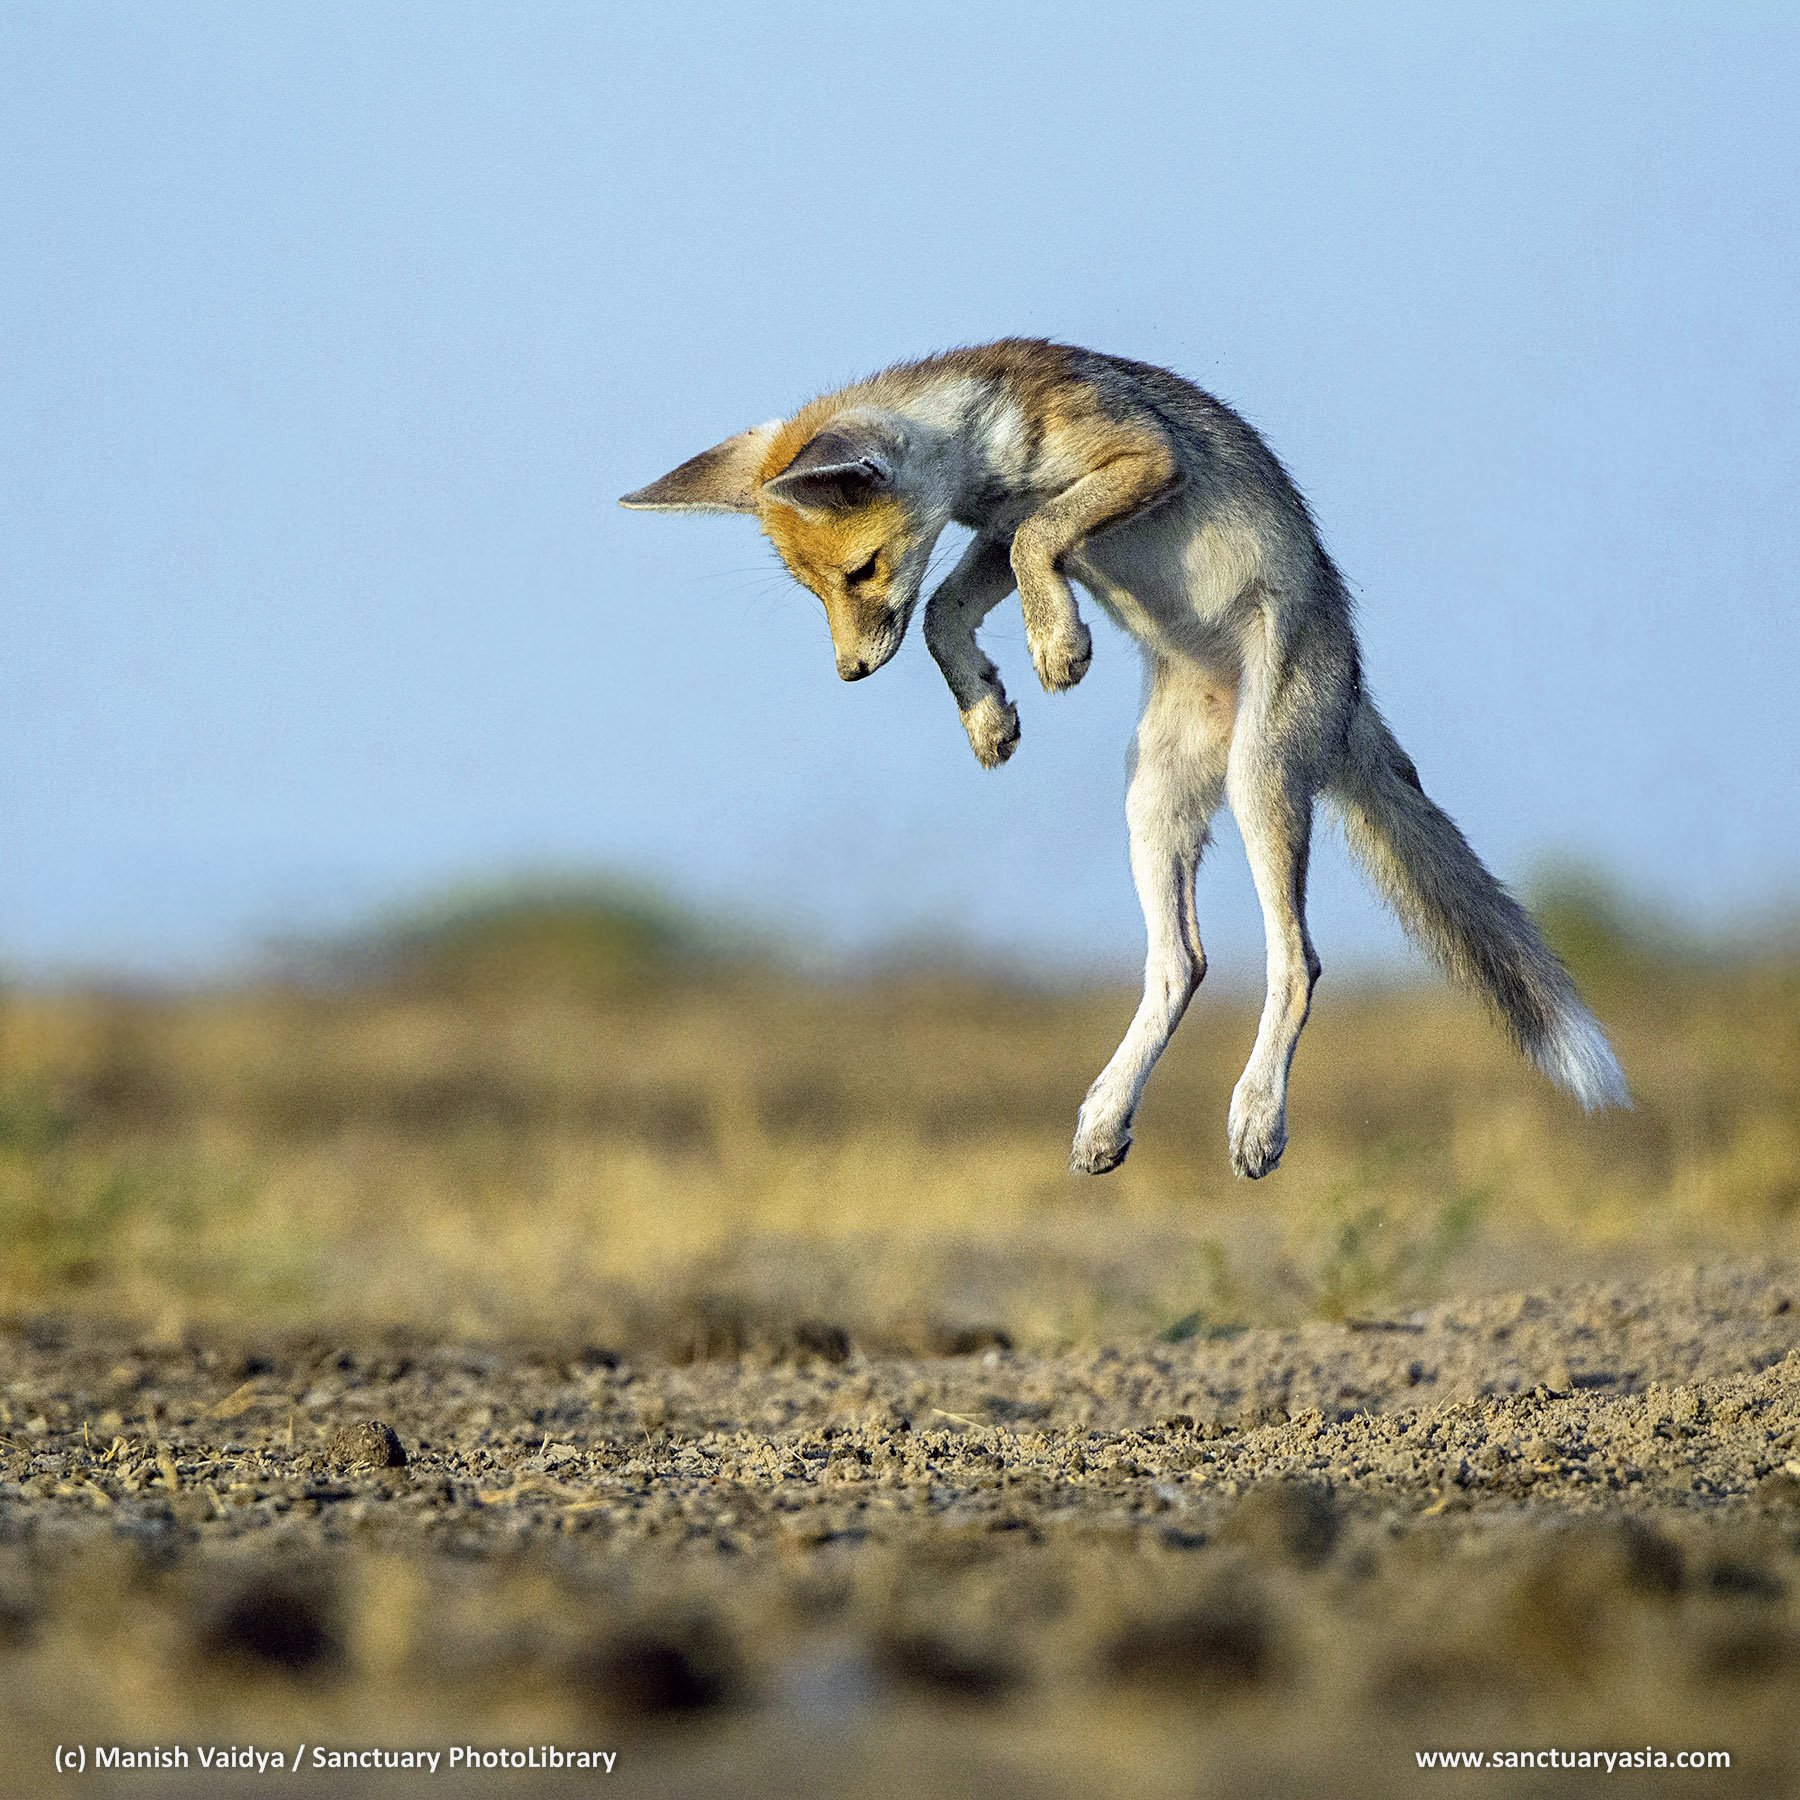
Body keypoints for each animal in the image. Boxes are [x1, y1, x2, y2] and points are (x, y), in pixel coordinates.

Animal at [620, 339, 1629, 1178]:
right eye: (813, 590)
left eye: (860, 572)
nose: (850, 673)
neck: (990, 440)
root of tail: (1351, 696)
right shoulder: (996, 531)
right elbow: (953, 607)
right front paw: (990, 712)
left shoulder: (1138, 460)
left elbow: (1035, 545)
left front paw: (1056, 647)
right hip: (1152, 803)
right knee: (1181, 964)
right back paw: (1107, 1118)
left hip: (1261, 781)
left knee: (1296, 963)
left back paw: (1257, 1119)